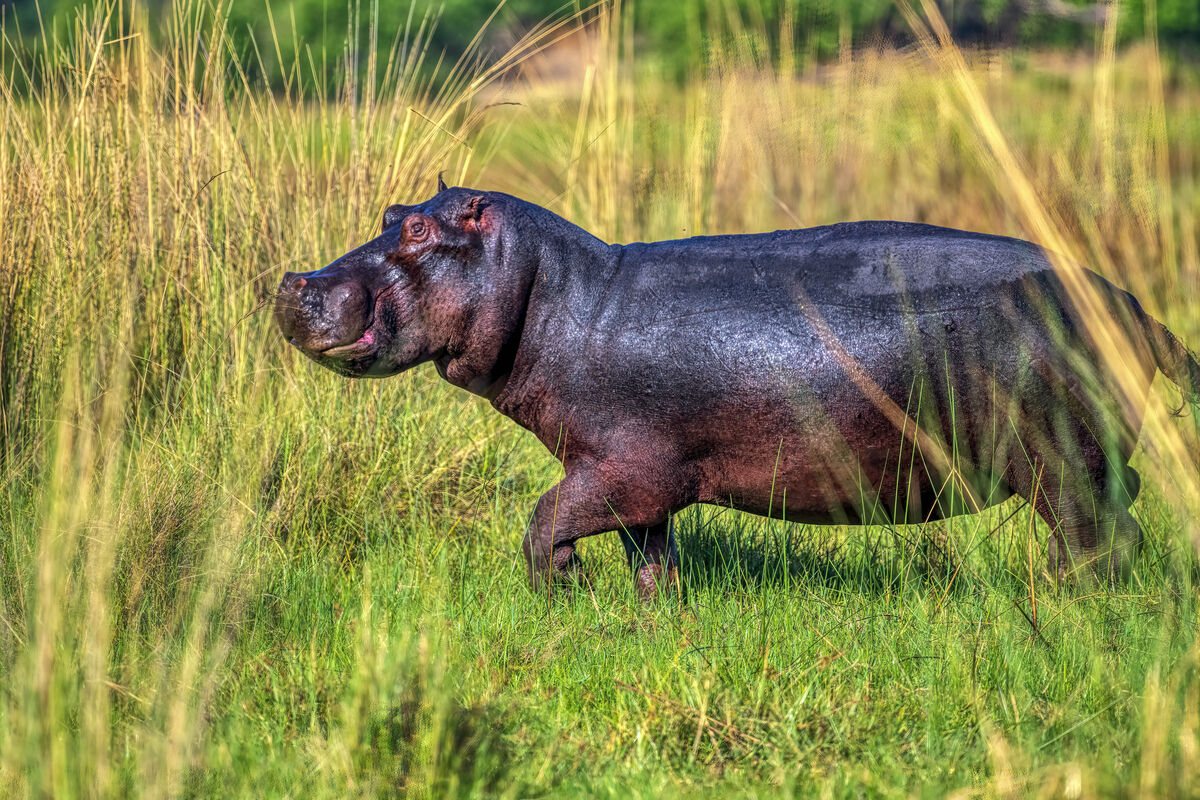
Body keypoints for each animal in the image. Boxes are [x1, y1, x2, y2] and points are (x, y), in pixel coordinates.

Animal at [274, 181, 1199, 600]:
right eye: (389, 212)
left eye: (417, 231)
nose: (293, 280)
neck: (554, 292)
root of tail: (1131, 302)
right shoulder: (638, 478)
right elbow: (651, 553)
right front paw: (654, 617)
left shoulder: (619, 466)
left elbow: (543, 521)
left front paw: (564, 589)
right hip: (1083, 458)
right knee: (1114, 520)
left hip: (1058, 459)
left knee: (1100, 538)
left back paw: (1062, 601)